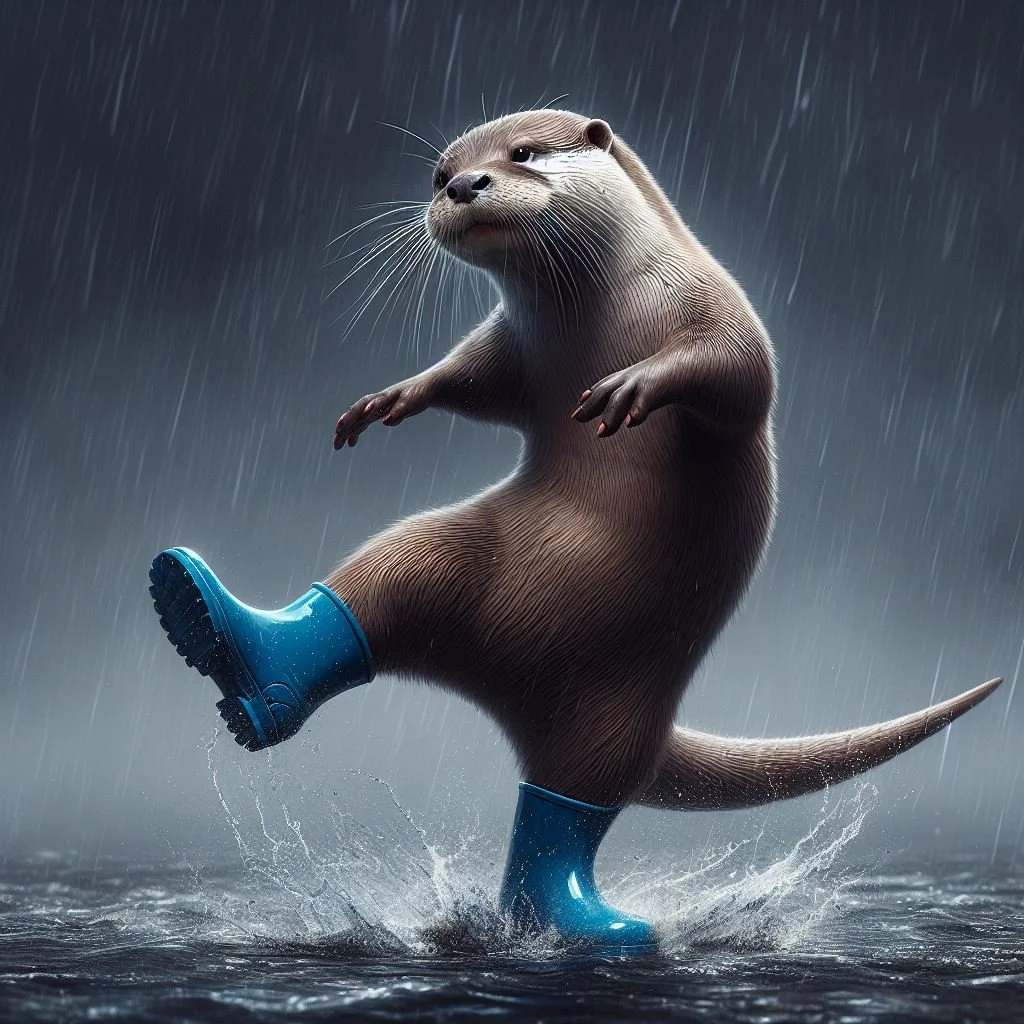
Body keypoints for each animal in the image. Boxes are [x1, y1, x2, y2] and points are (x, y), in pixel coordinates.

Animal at [150, 109, 1001, 949]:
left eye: (524, 152)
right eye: (437, 174)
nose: (465, 183)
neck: (606, 313)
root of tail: (506, 686)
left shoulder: (711, 299)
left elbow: (739, 370)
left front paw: (635, 384)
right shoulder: (514, 348)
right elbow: (472, 379)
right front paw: (396, 396)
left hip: (610, 706)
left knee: (567, 808)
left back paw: (584, 926)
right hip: (453, 556)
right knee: (372, 600)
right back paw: (207, 622)